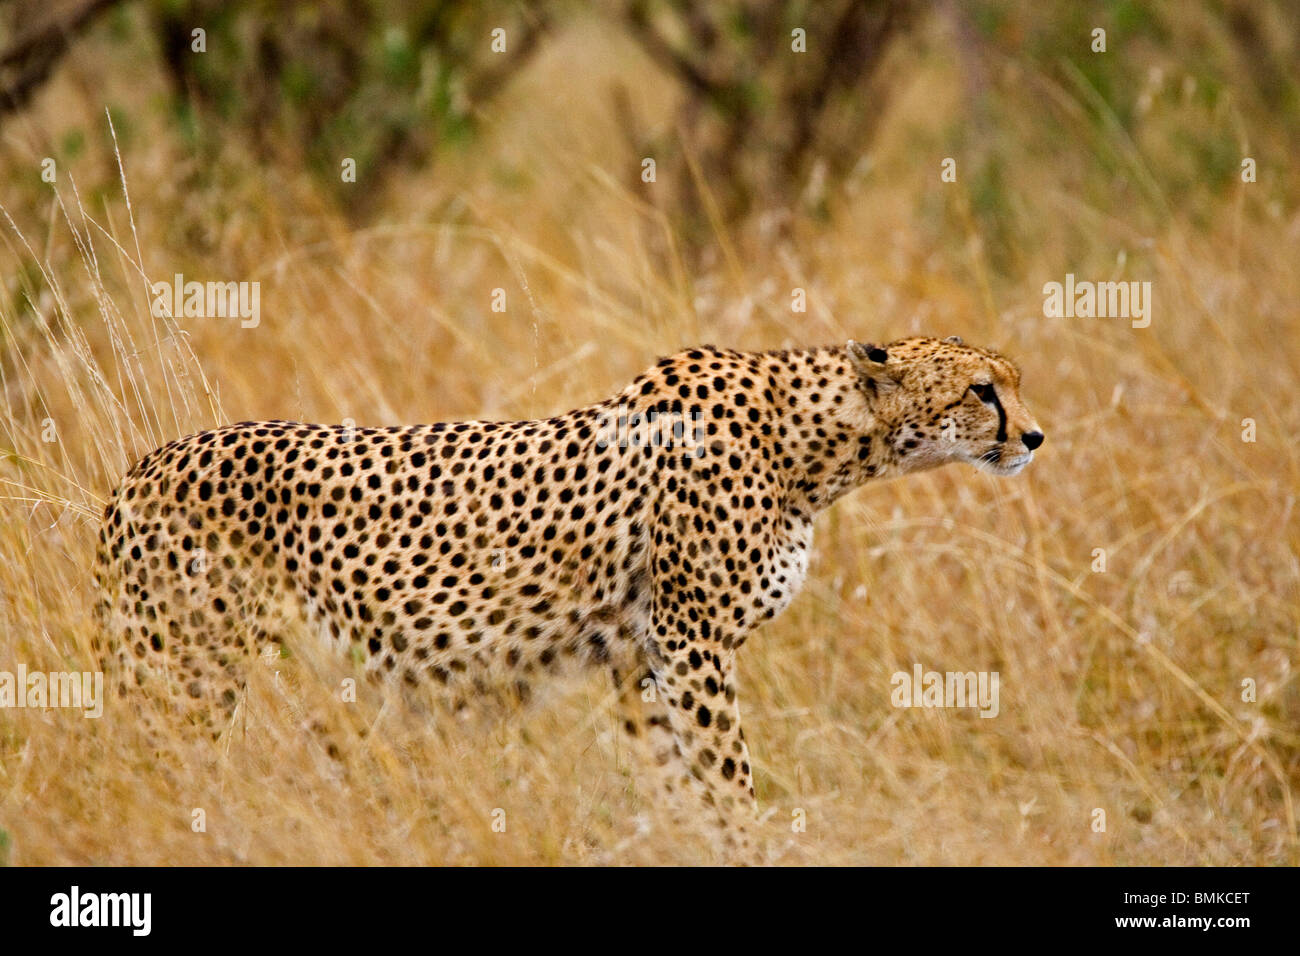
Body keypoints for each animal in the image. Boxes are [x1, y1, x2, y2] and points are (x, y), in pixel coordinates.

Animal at [92, 335, 1043, 848]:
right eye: (981, 390)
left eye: (1013, 380)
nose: (1035, 436)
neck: (816, 449)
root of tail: (140, 467)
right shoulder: (694, 645)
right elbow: (728, 780)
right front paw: (751, 846)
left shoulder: (640, 658)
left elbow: (675, 785)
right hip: (188, 669)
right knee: (143, 771)